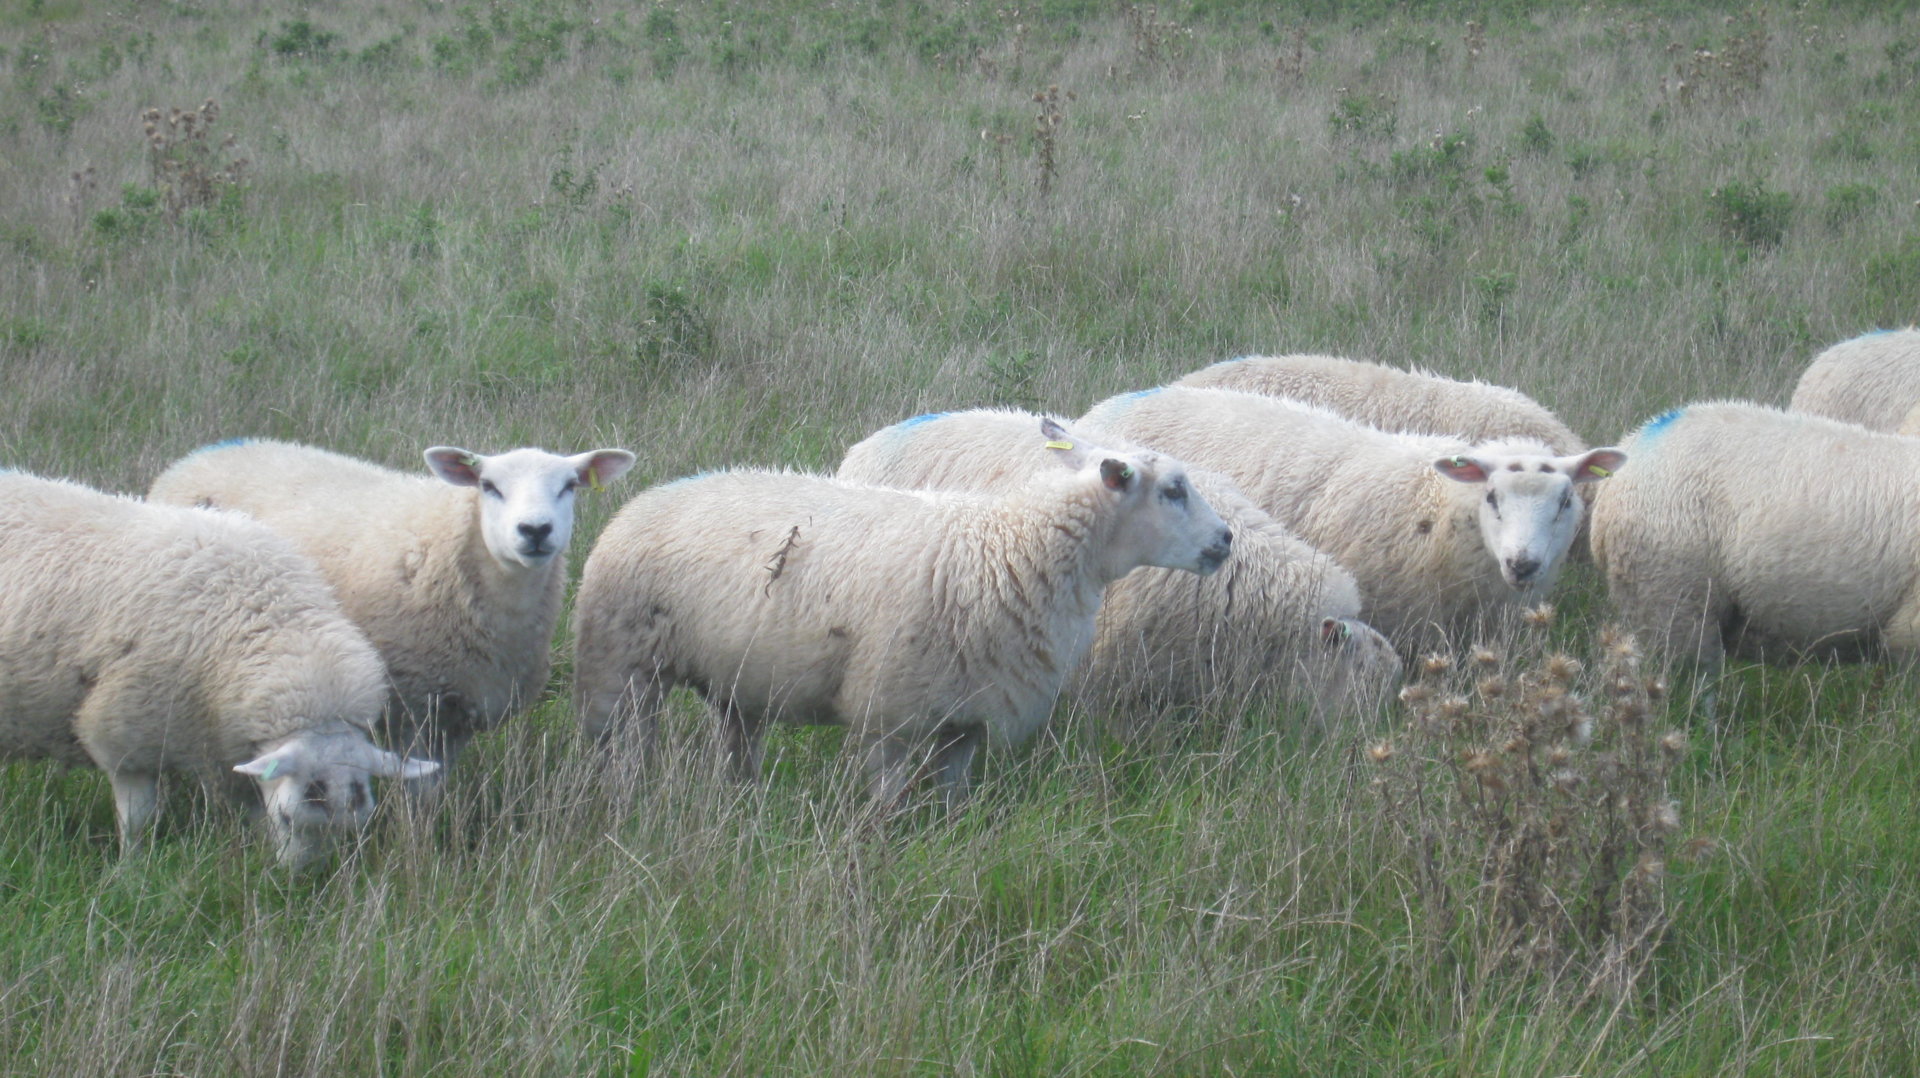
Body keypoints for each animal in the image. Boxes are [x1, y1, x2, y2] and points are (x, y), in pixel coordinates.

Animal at [0, 471, 437, 867]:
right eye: (287, 818)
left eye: (352, 828)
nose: (297, 884)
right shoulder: (125, 734)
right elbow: (138, 820)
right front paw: (131, 869)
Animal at [148, 438, 636, 777]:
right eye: (488, 486)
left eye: (569, 486)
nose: (535, 530)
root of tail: (195, 457)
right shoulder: (411, 709)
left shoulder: (454, 711)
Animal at [573, 429, 1234, 808]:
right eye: (1173, 491)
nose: (1227, 539)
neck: (1014, 548)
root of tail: (641, 501)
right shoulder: (887, 711)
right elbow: (888, 805)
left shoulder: (967, 719)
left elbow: (951, 802)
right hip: (623, 672)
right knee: (624, 755)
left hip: (735, 684)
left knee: (738, 750)